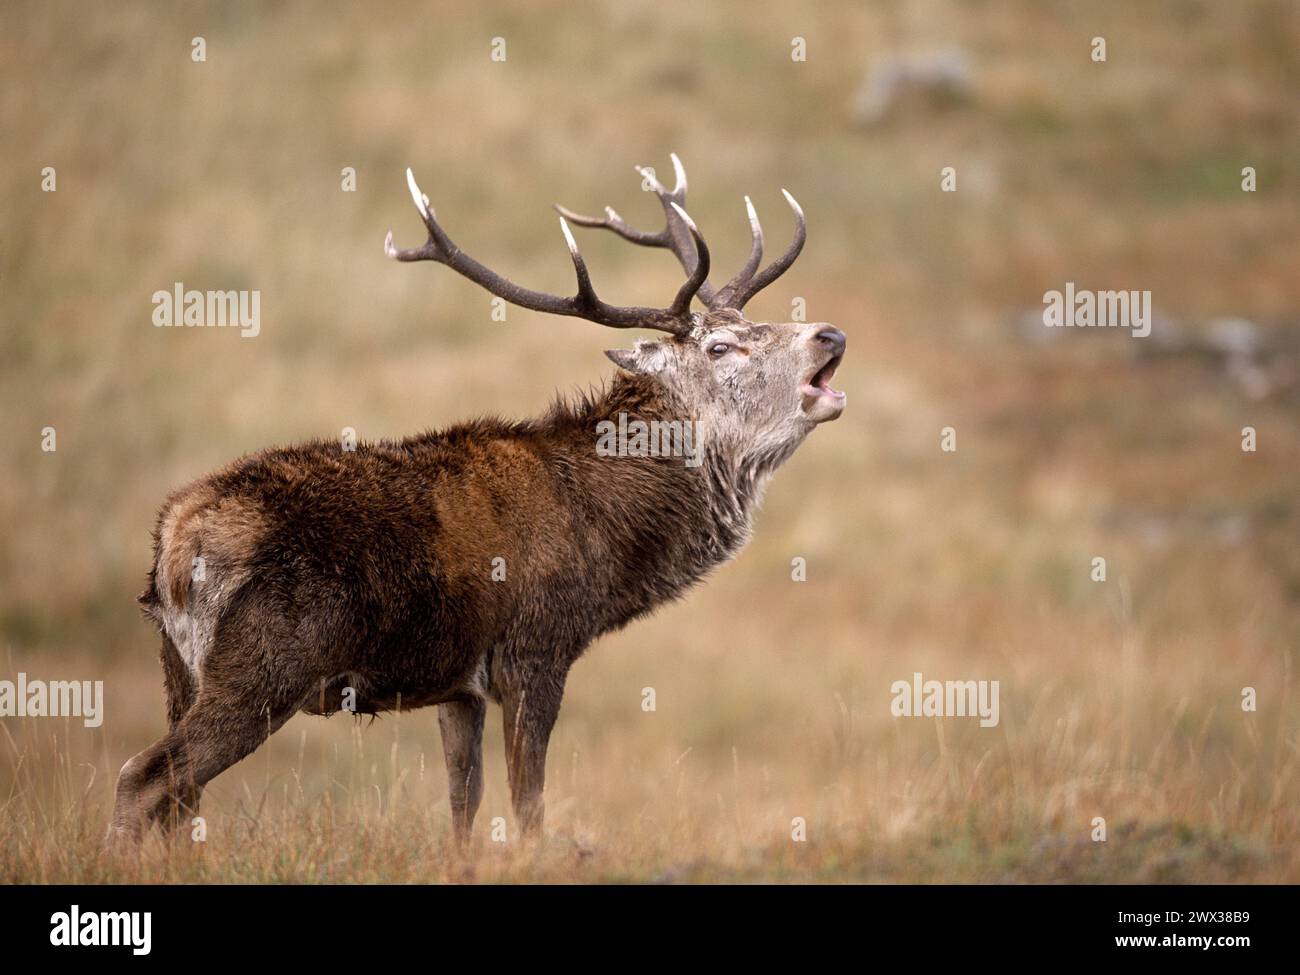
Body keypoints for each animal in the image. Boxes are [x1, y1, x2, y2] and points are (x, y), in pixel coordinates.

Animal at [110, 155, 846, 845]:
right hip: (264, 664)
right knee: (145, 776)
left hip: (178, 670)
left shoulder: (457, 682)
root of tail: (172, 544)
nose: (830, 334)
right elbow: (528, 805)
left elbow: (463, 805)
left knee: (180, 798)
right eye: (721, 347)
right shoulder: (535, 648)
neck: (606, 537)